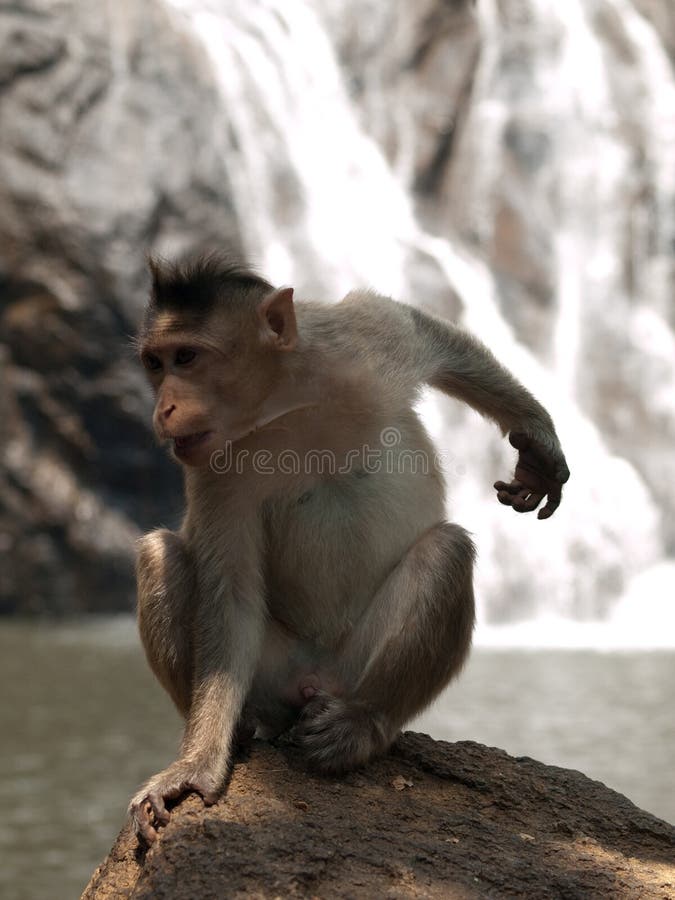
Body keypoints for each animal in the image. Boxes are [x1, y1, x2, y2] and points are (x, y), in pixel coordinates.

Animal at [129, 252, 569, 844]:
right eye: (155, 364)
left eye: (187, 357)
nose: (164, 408)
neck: (285, 407)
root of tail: (314, 685)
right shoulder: (213, 469)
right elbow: (231, 596)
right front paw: (196, 765)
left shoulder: (360, 346)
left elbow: (426, 334)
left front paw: (538, 438)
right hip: (273, 677)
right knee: (160, 553)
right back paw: (242, 732)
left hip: (355, 665)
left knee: (447, 551)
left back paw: (363, 725)